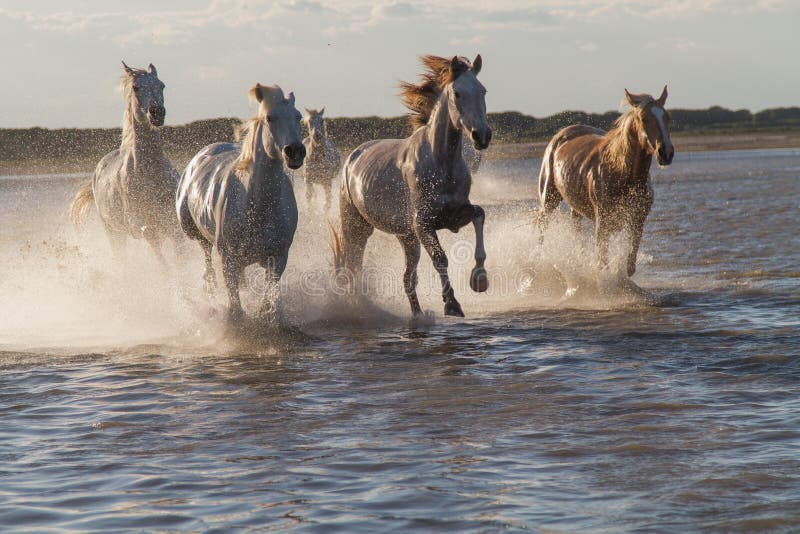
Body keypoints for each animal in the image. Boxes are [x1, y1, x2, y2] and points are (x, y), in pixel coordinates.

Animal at [70, 62, 182, 263]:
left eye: (162, 85)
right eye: (136, 87)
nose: (157, 113)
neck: (151, 173)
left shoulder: (173, 224)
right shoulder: (137, 223)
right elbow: (154, 244)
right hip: (113, 232)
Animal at [176, 83, 306, 322]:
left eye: (298, 116)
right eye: (269, 117)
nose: (295, 152)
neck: (258, 207)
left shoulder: (278, 258)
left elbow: (268, 303)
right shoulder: (228, 259)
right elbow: (235, 306)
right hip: (194, 231)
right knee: (206, 255)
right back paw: (209, 286)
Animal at [332, 55, 492, 318]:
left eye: (483, 90)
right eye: (457, 93)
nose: (482, 136)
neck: (440, 161)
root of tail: (352, 157)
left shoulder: (453, 216)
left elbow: (479, 215)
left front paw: (479, 280)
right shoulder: (423, 223)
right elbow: (440, 258)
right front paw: (452, 304)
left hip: (406, 238)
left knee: (407, 278)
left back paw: (418, 316)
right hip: (357, 227)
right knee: (354, 267)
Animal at [537, 86, 674, 278]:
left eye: (667, 117)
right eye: (644, 118)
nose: (666, 153)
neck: (623, 175)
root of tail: (562, 134)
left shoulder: (637, 221)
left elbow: (630, 263)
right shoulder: (603, 223)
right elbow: (603, 262)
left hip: (574, 206)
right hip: (548, 198)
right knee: (542, 227)